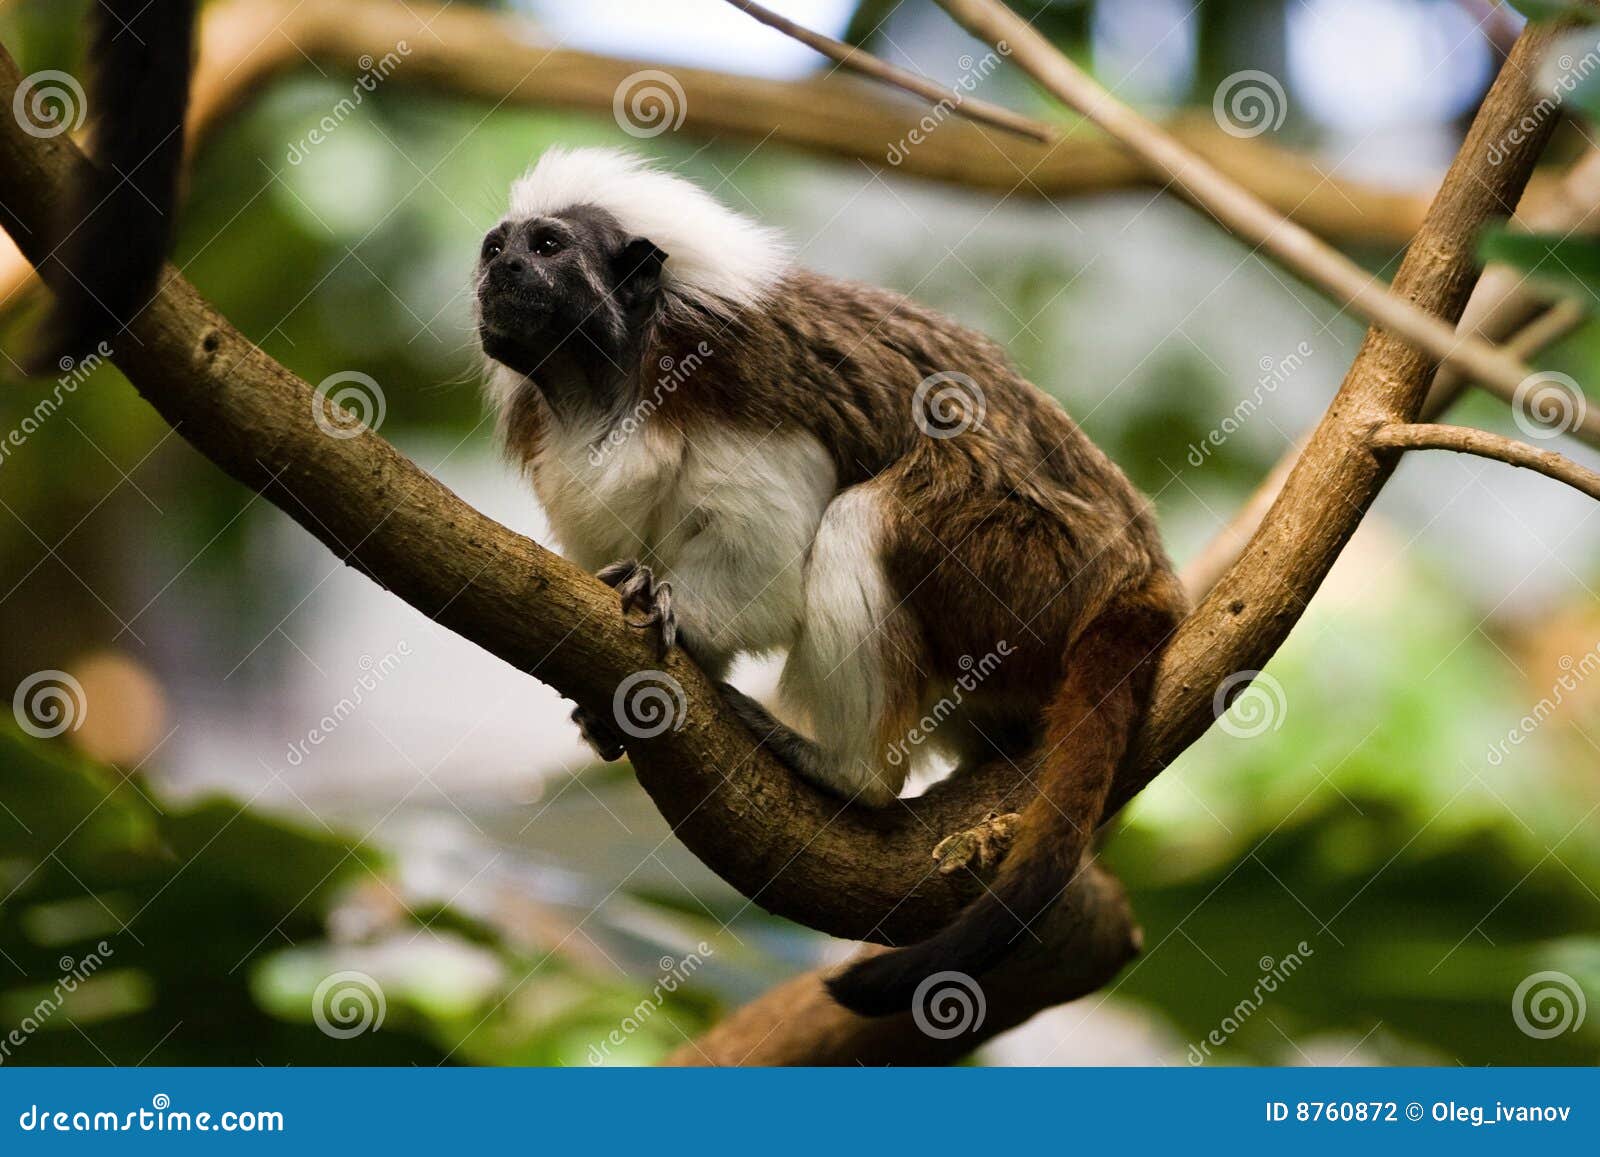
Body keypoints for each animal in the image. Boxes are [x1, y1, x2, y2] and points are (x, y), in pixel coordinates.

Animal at [475, 147, 1186, 1017]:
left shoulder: (740, 391)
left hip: (1033, 570)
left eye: (545, 246)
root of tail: (1136, 565)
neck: (611, 387)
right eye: (496, 247)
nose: (500, 266)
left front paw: (671, 608)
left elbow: (766, 563)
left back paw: (845, 769)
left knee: (869, 512)